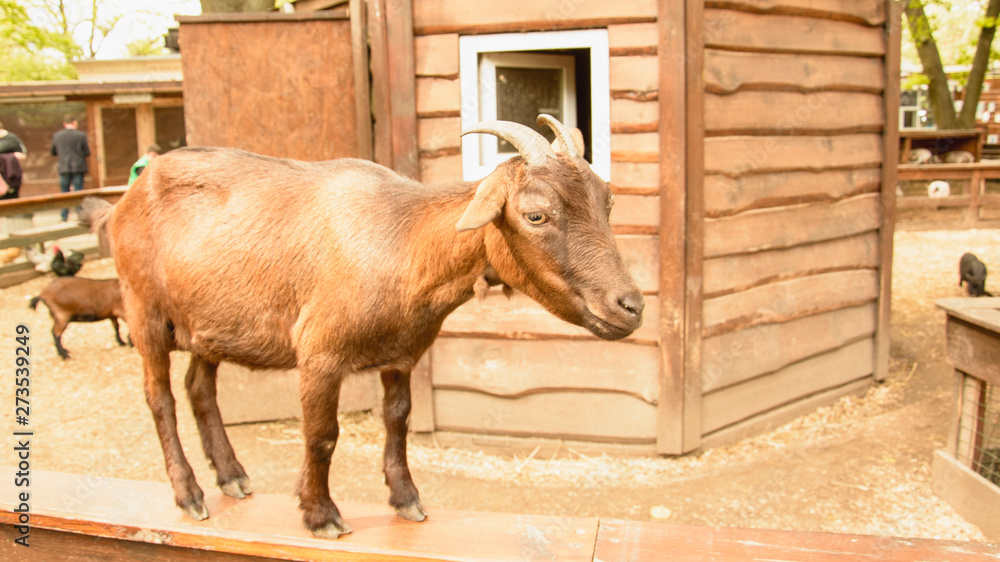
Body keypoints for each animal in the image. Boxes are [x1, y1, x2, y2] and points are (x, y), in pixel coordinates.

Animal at [81, 115, 644, 538]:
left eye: (607, 201)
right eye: (535, 215)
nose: (631, 306)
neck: (404, 242)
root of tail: (123, 201)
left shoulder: (402, 356)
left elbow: (398, 422)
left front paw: (406, 499)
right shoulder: (320, 354)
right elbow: (322, 435)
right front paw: (320, 514)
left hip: (208, 325)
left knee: (200, 388)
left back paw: (233, 477)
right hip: (144, 311)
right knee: (160, 399)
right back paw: (190, 494)